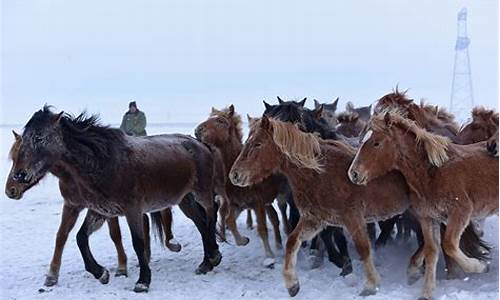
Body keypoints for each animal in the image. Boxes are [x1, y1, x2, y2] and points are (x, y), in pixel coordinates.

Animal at [3, 106, 223, 292]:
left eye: (39, 137)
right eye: (23, 140)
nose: (18, 176)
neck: (104, 162)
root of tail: (200, 144)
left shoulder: (132, 210)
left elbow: (137, 242)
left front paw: (143, 281)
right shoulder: (100, 210)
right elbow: (80, 238)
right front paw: (101, 273)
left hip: (202, 193)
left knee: (211, 216)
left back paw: (212, 256)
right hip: (185, 200)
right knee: (201, 224)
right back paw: (207, 262)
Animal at [195, 105, 286, 268]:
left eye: (221, 121)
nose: (198, 130)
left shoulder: (258, 204)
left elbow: (262, 229)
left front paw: (269, 256)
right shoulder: (235, 204)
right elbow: (230, 221)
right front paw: (242, 240)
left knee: (277, 216)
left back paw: (279, 243)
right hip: (266, 202)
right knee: (274, 217)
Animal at [229, 116, 410, 296]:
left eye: (258, 144)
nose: (234, 175)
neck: (321, 173)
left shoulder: (352, 218)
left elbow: (363, 249)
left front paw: (371, 285)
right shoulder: (315, 220)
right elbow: (292, 241)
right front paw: (292, 284)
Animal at [350, 110, 498, 300]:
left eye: (376, 143)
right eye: (362, 141)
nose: (354, 174)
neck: (432, 173)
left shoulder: (460, 212)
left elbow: (449, 245)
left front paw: (480, 266)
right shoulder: (428, 218)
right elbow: (431, 251)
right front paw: (426, 292)